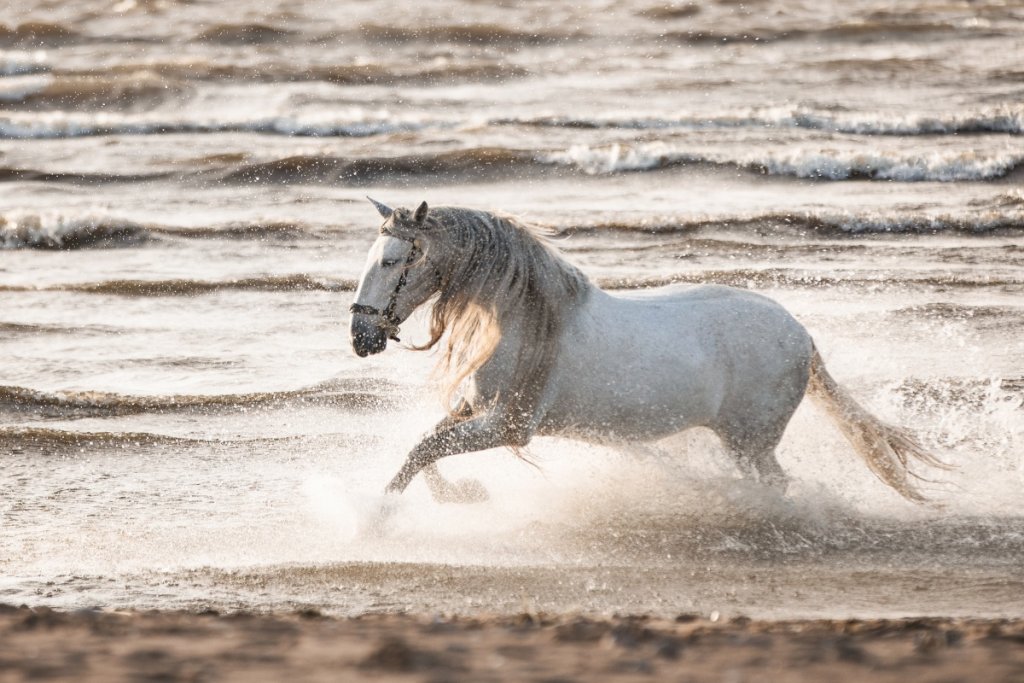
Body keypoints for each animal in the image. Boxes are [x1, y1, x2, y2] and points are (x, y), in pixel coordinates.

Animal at [349, 197, 949, 505]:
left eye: (393, 261)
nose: (361, 338)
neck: (527, 318)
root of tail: (801, 334)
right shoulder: (477, 410)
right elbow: (425, 446)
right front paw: (461, 494)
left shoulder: (510, 426)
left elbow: (424, 450)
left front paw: (373, 520)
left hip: (751, 443)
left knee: (775, 485)